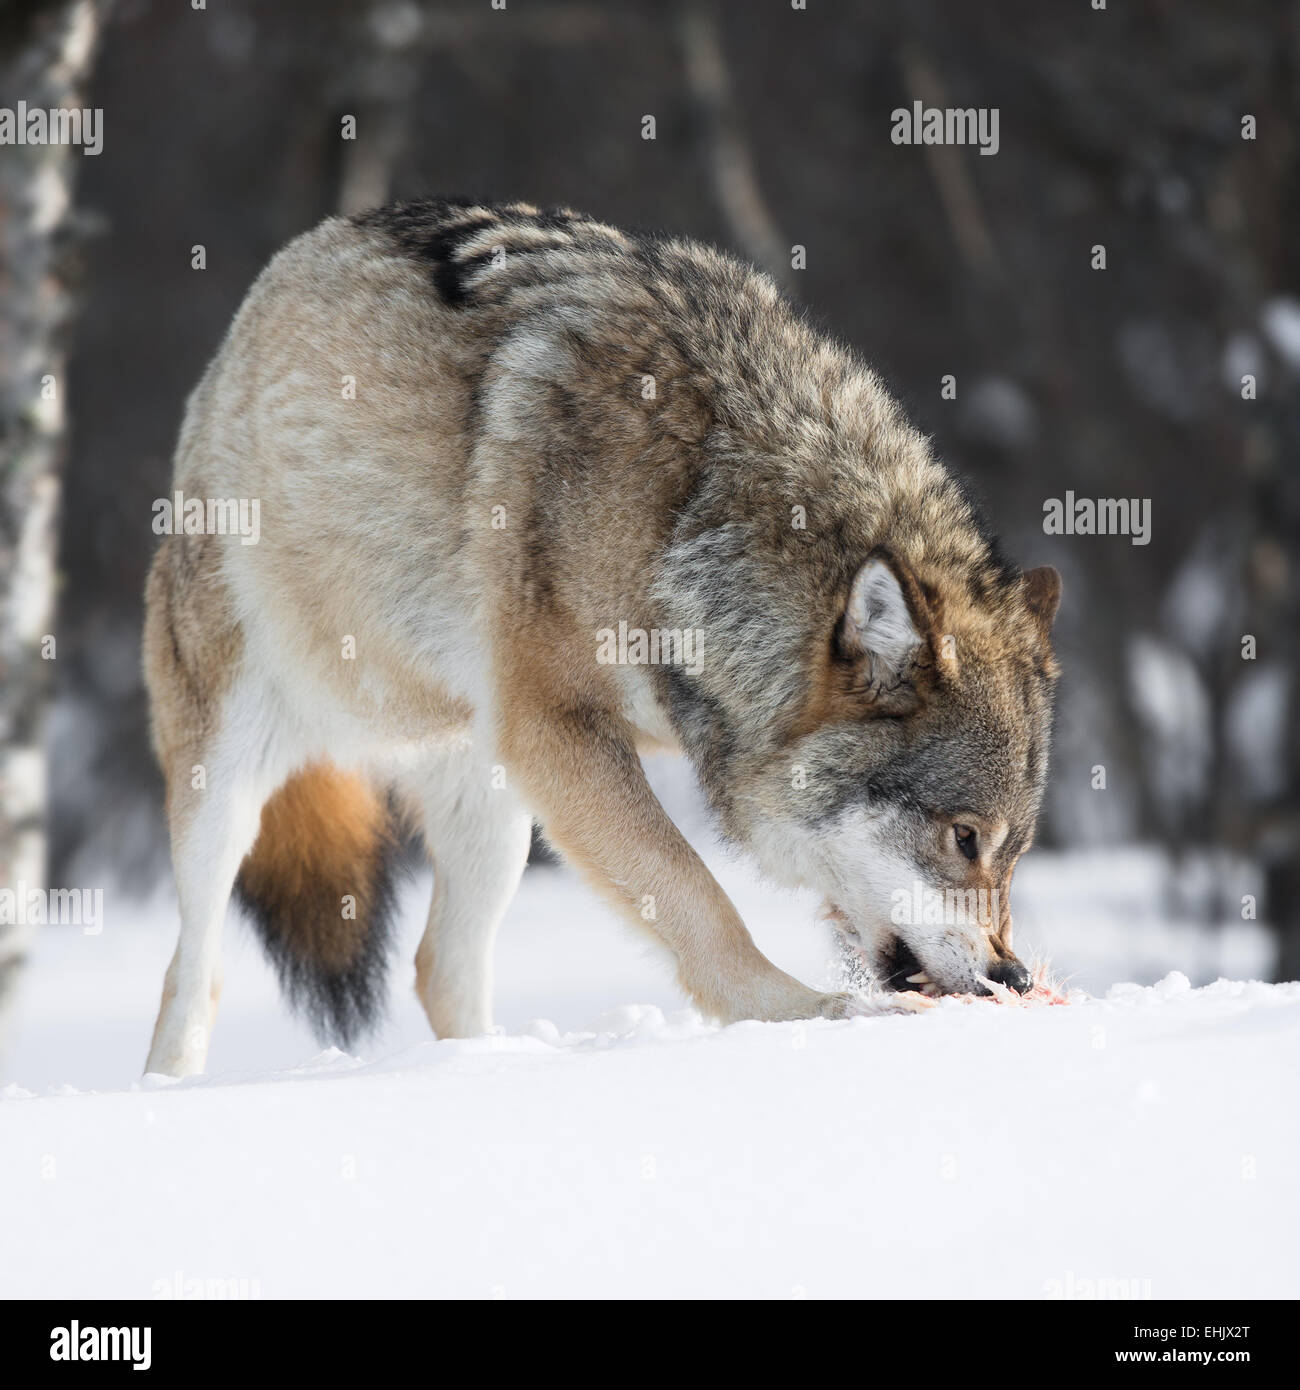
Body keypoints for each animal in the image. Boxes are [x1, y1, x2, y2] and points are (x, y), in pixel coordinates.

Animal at [142, 198, 1060, 1077]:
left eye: (1015, 852)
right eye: (965, 839)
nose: (1012, 977)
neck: (692, 509)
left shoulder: (552, 745)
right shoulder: (560, 729)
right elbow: (695, 895)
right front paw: (810, 1016)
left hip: (494, 804)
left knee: (440, 969)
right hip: (234, 773)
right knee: (195, 971)